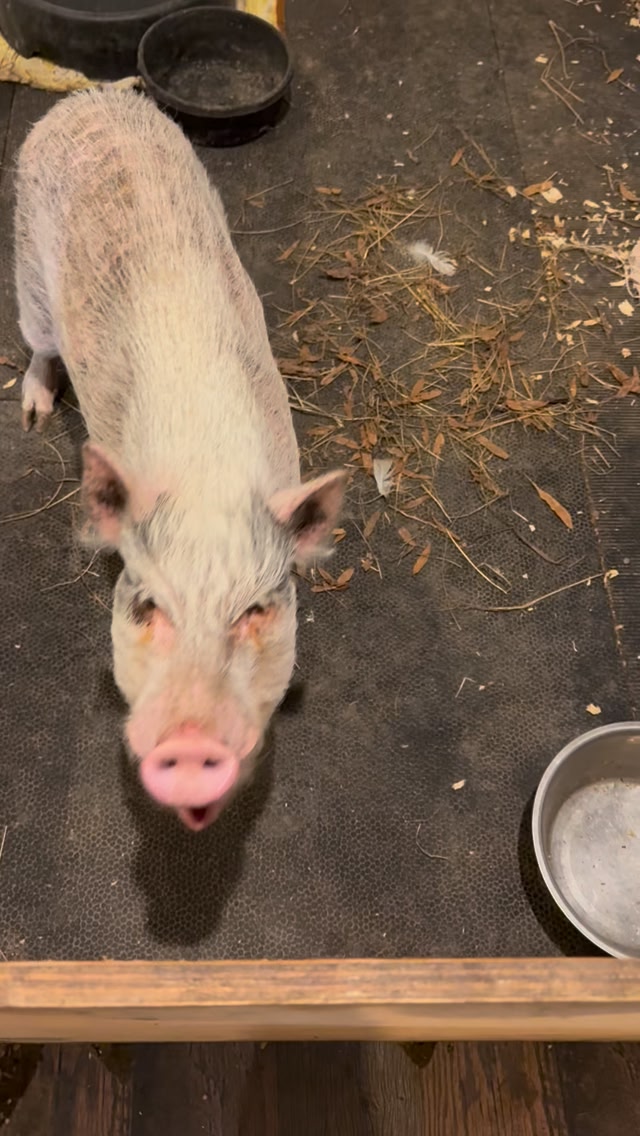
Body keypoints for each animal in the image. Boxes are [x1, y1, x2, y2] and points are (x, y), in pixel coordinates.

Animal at [14, 89, 346, 831]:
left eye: (253, 610)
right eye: (147, 606)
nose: (192, 744)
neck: (205, 481)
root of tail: (87, 97)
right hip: (26, 279)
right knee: (37, 345)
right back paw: (30, 413)